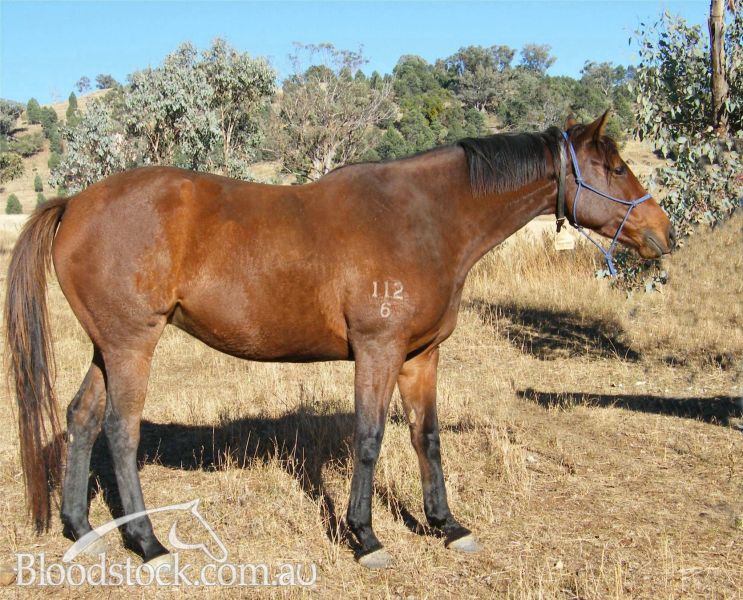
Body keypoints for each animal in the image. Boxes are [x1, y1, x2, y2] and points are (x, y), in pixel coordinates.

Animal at [4, 111, 674, 569]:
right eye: (615, 167)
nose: (663, 232)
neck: (424, 218)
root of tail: (75, 203)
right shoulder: (378, 352)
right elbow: (371, 439)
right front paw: (365, 537)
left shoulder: (421, 355)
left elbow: (426, 437)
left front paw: (446, 524)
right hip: (131, 346)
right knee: (120, 430)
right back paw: (147, 542)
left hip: (106, 348)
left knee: (82, 417)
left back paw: (80, 528)